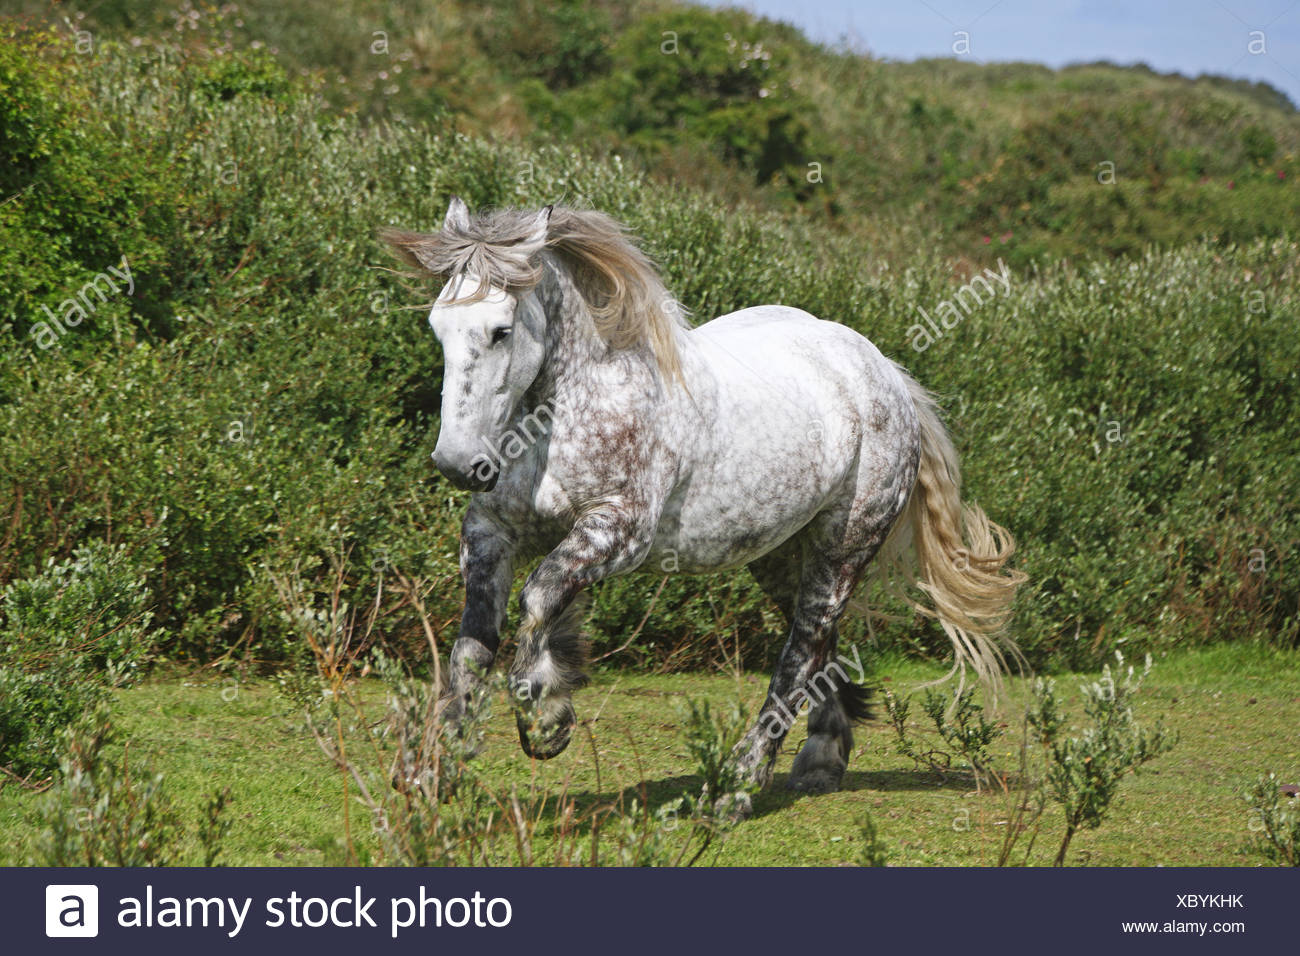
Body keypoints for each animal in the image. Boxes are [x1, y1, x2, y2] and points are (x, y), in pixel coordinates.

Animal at [381, 198, 1025, 814]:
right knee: (820, 646)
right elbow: (473, 644)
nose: (459, 463)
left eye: (501, 330)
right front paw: (434, 770)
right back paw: (821, 760)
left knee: (802, 650)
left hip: (844, 546)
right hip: (780, 555)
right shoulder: (492, 530)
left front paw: (546, 720)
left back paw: (737, 788)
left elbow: (538, 598)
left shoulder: (617, 531)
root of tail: (884, 371)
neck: (563, 416)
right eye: (439, 327)